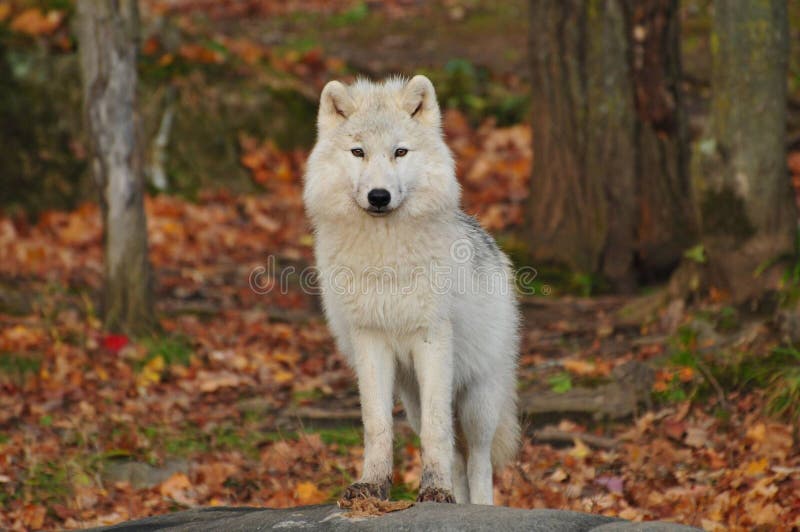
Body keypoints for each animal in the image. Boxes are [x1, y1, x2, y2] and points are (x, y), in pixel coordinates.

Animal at [303, 75, 520, 505]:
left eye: (400, 152)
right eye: (358, 152)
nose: (379, 196)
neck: (385, 258)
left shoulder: (431, 337)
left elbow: (438, 432)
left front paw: (433, 489)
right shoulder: (370, 339)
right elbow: (377, 425)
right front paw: (372, 485)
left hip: (478, 400)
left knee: (479, 460)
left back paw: (478, 506)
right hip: (412, 398)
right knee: (457, 458)